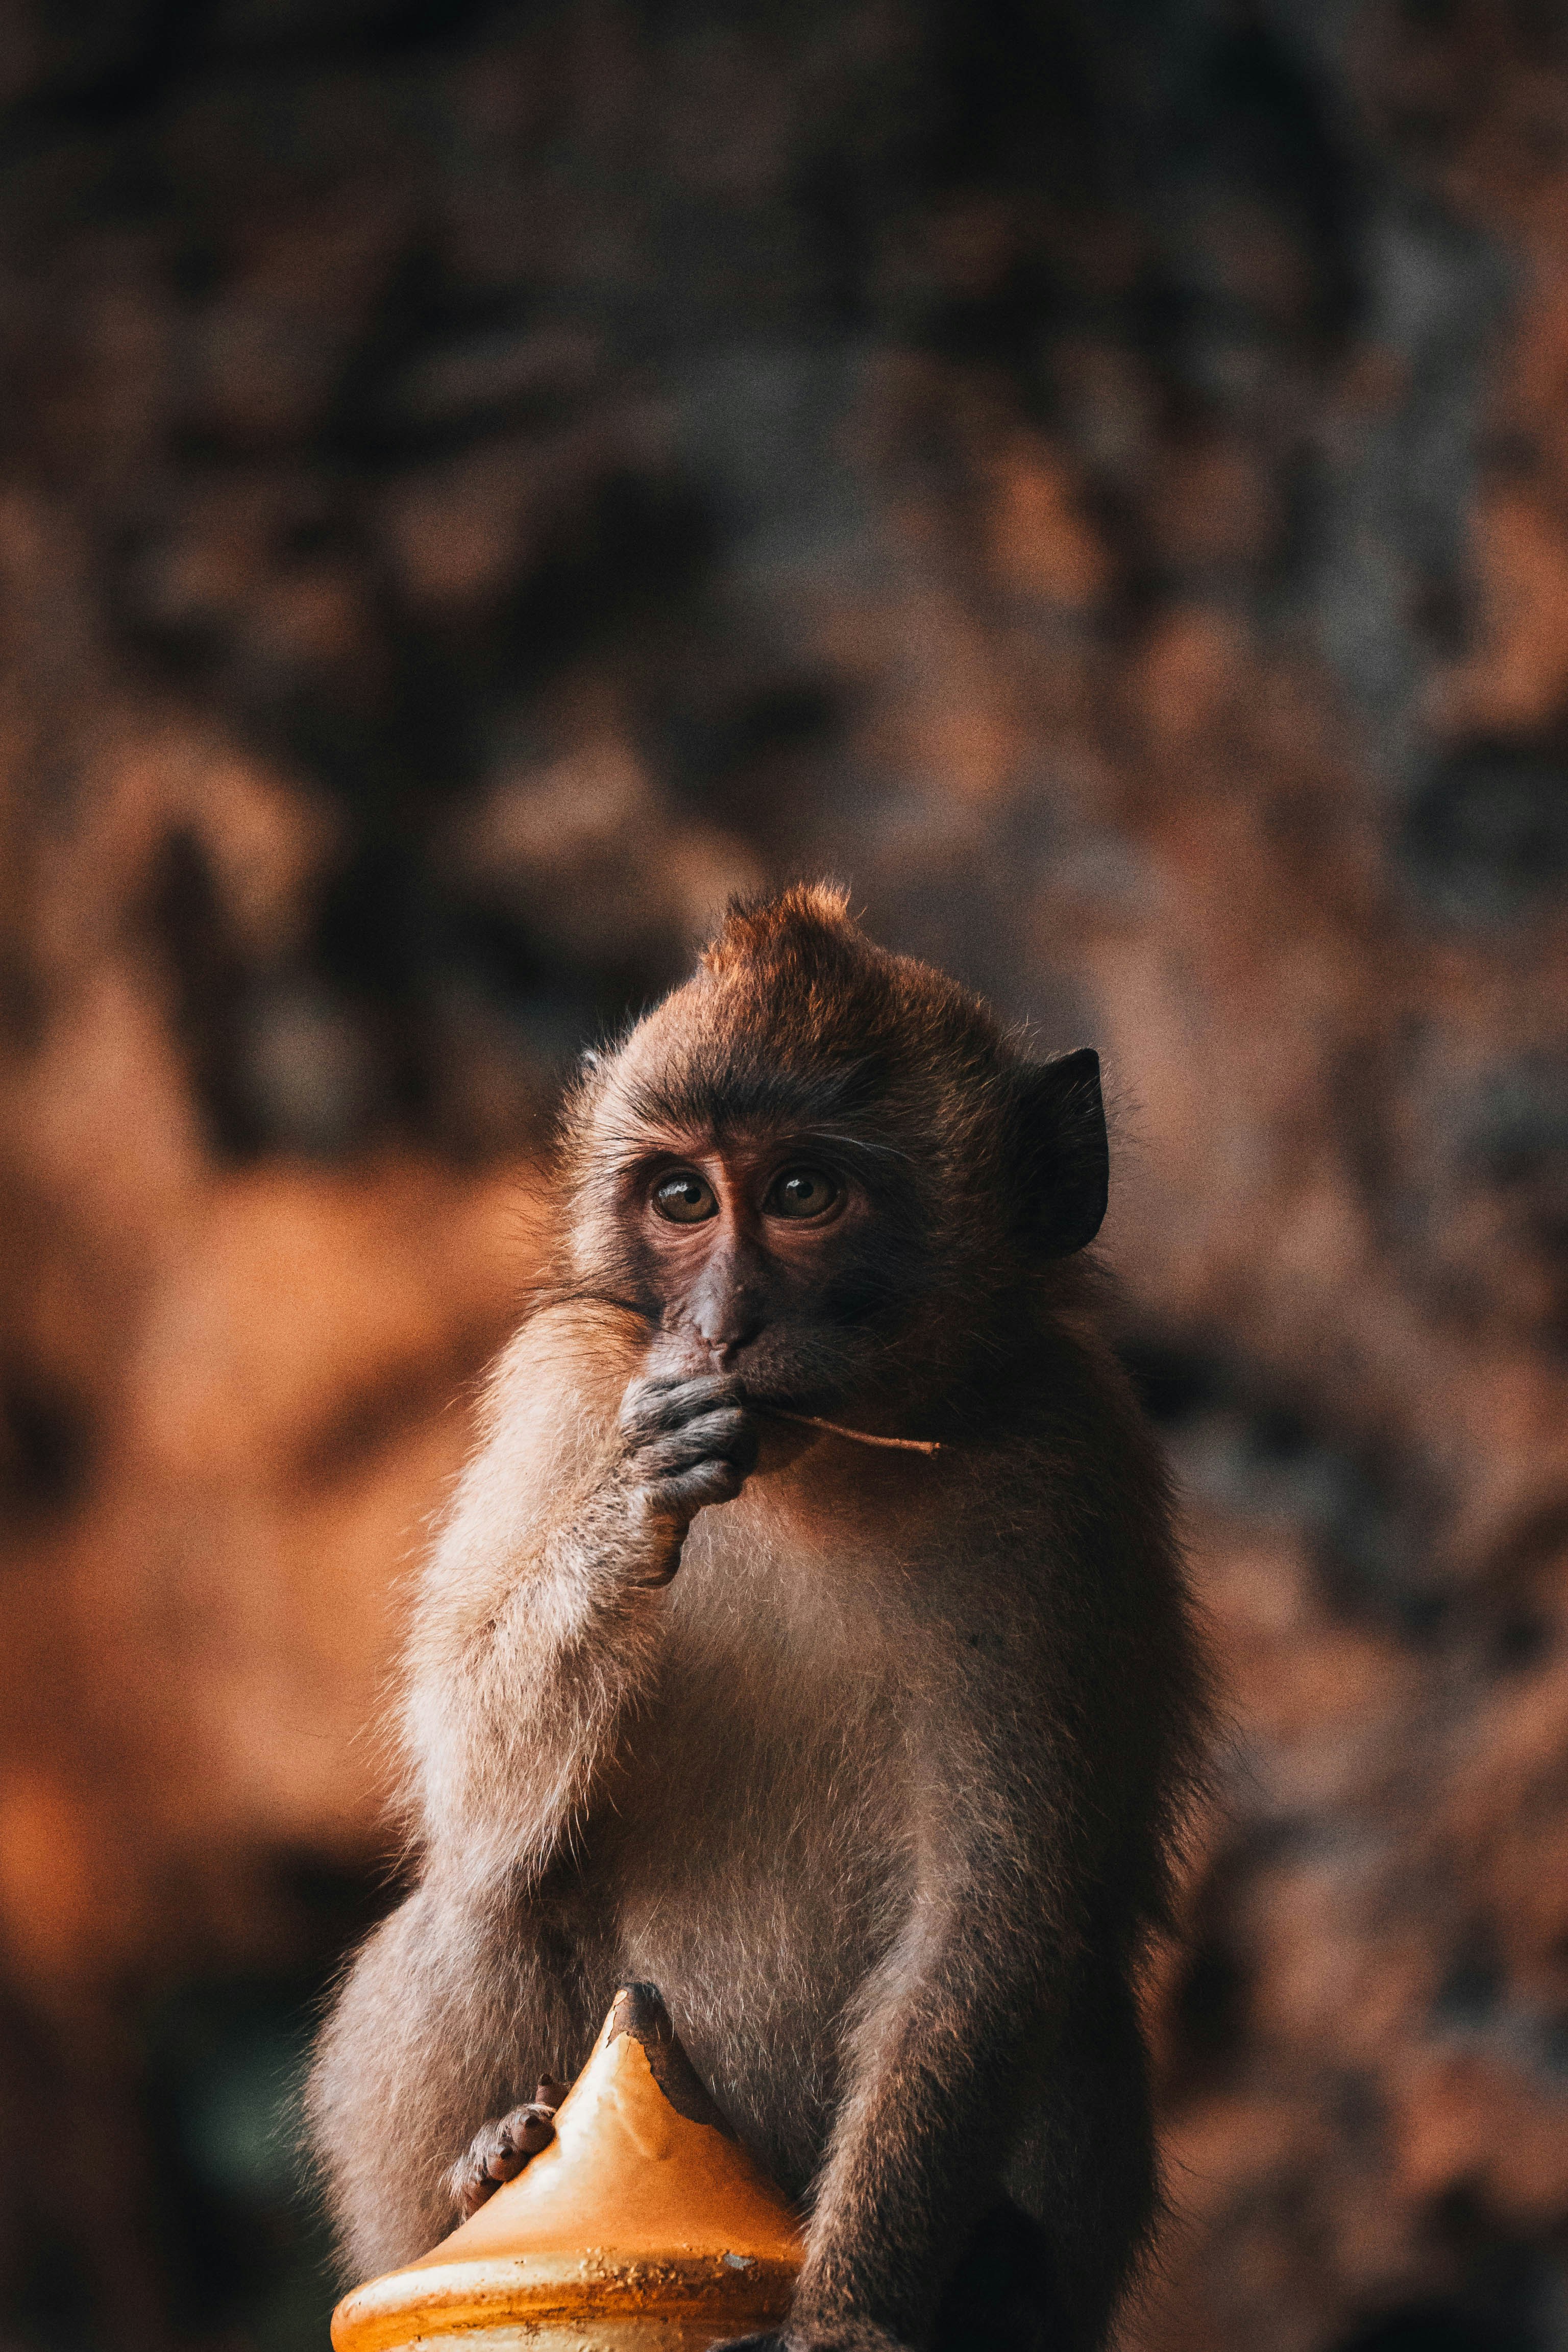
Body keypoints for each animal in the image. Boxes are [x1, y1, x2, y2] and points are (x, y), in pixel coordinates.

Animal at [307, 884, 1210, 2352]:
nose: (720, 1325)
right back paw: (489, 2164)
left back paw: (1000, 2275)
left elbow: (987, 1923)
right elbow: (471, 1783)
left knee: (1069, 2013)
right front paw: (635, 1498)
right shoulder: (566, 1376)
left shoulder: (1062, 1471)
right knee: (491, 1895)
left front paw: (844, 2313)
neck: (819, 1472)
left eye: (802, 1195)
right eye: (682, 1197)